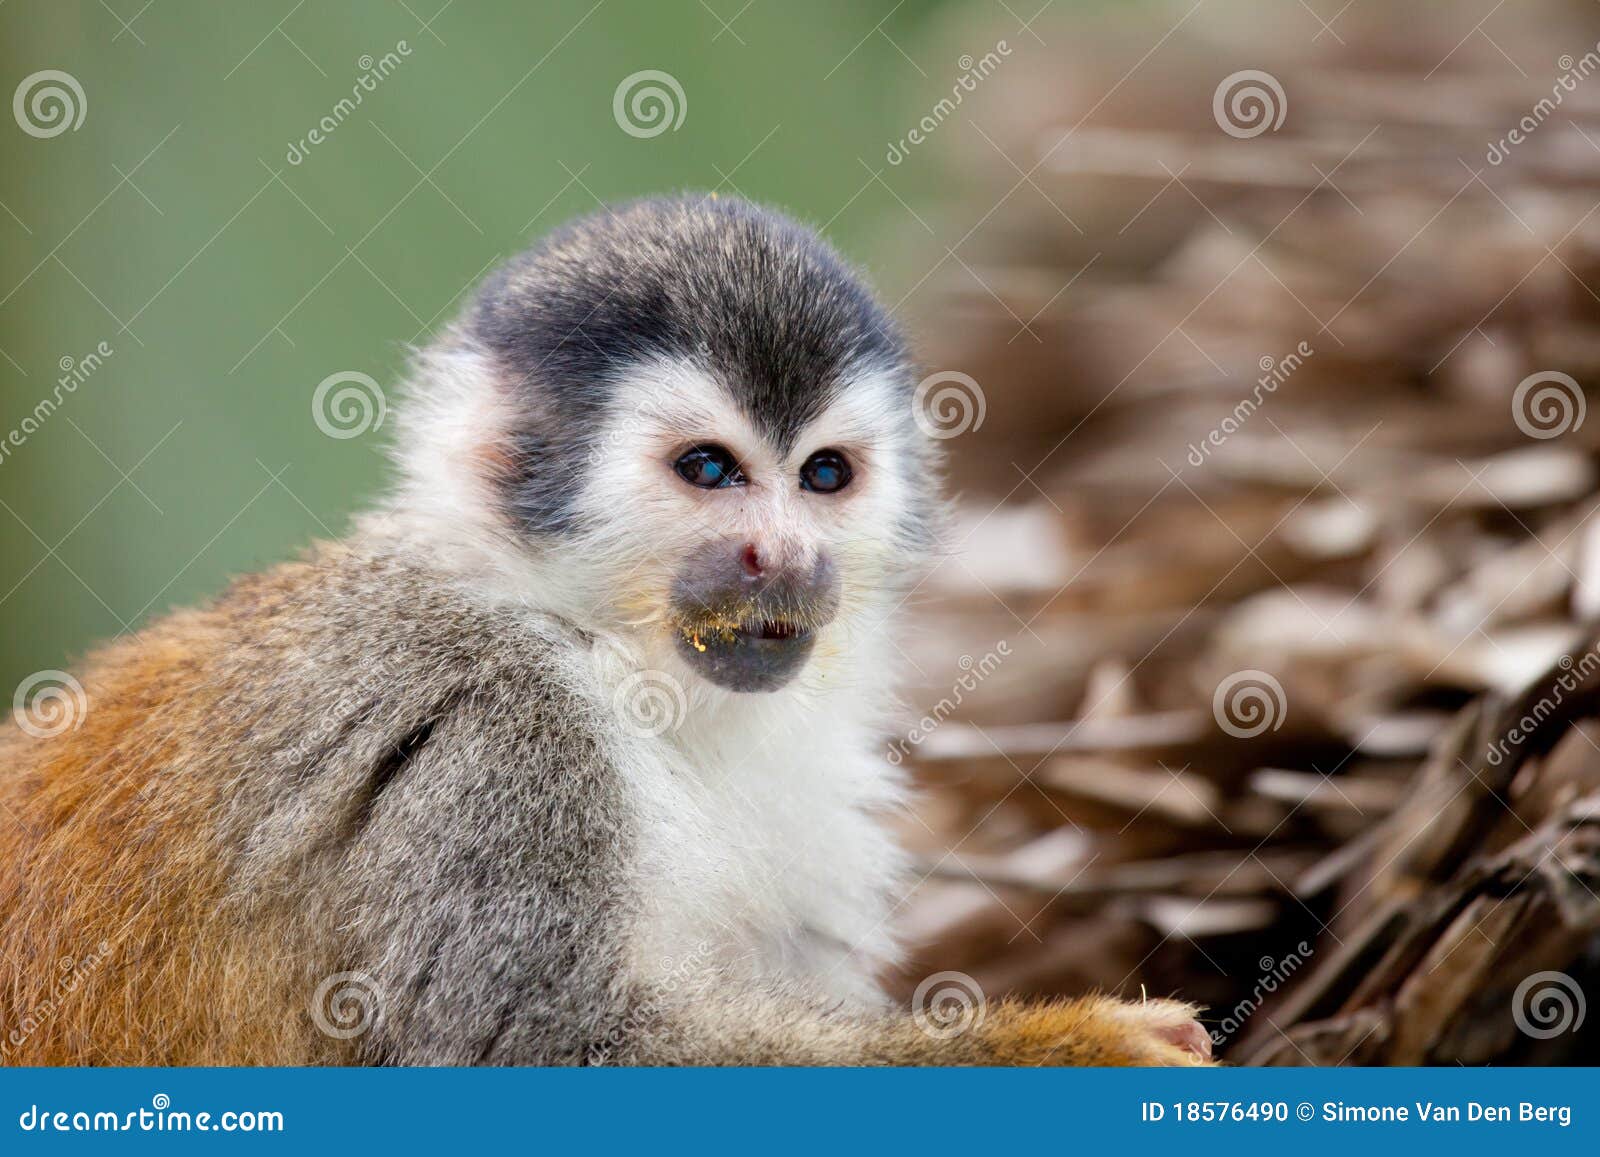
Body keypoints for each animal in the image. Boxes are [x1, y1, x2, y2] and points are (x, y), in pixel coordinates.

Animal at [0, 195, 1210, 1066]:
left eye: (824, 476)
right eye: (710, 470)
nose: (784, 556)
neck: (603, 651)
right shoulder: (497, 733)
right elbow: (526, 1052)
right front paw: (1078, 1049)